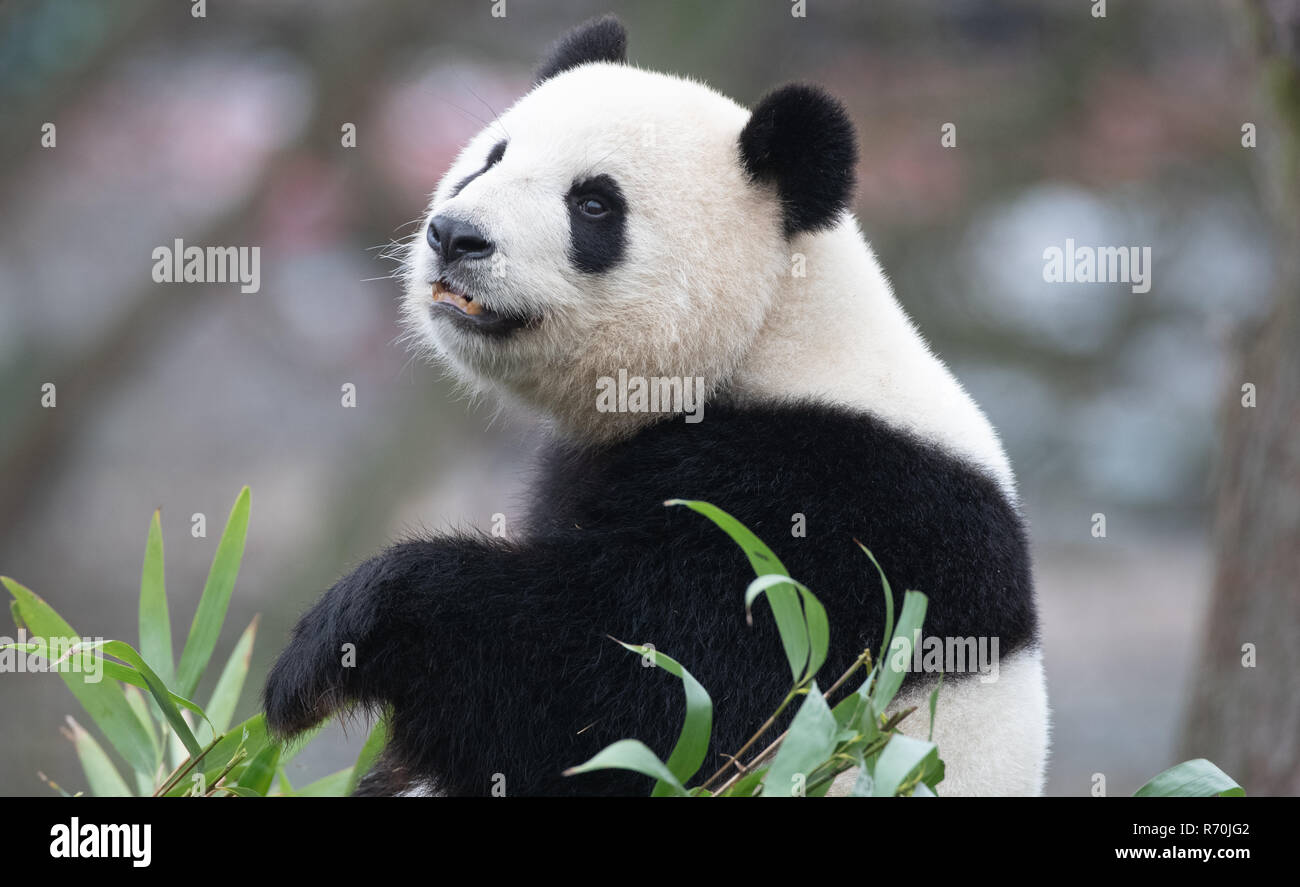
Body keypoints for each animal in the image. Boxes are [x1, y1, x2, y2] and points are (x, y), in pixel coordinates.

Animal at [264, 15, 1049, 797]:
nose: (455, 236)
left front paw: (333, 646)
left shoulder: (831, 523)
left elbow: (635, 693)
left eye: (593, 203)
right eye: (489, 160)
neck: (774, 336)